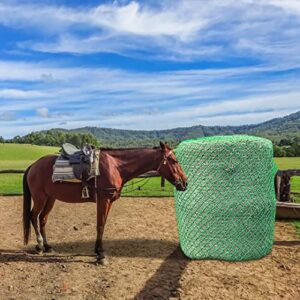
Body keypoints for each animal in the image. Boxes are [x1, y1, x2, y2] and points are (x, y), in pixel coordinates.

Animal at [22, 142, 188, 264]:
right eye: (174, 160)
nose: (185, 182)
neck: (115, 166)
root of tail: (33, 166)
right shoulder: (103, 200)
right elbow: (100, 225)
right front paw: (100, 255)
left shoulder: (108, 202)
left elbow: (103, 225)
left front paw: (98, 251)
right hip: (40, 198)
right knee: (33, 217)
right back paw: (39, 246)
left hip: (50, 198)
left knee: (42, 219)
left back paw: (48, 246)